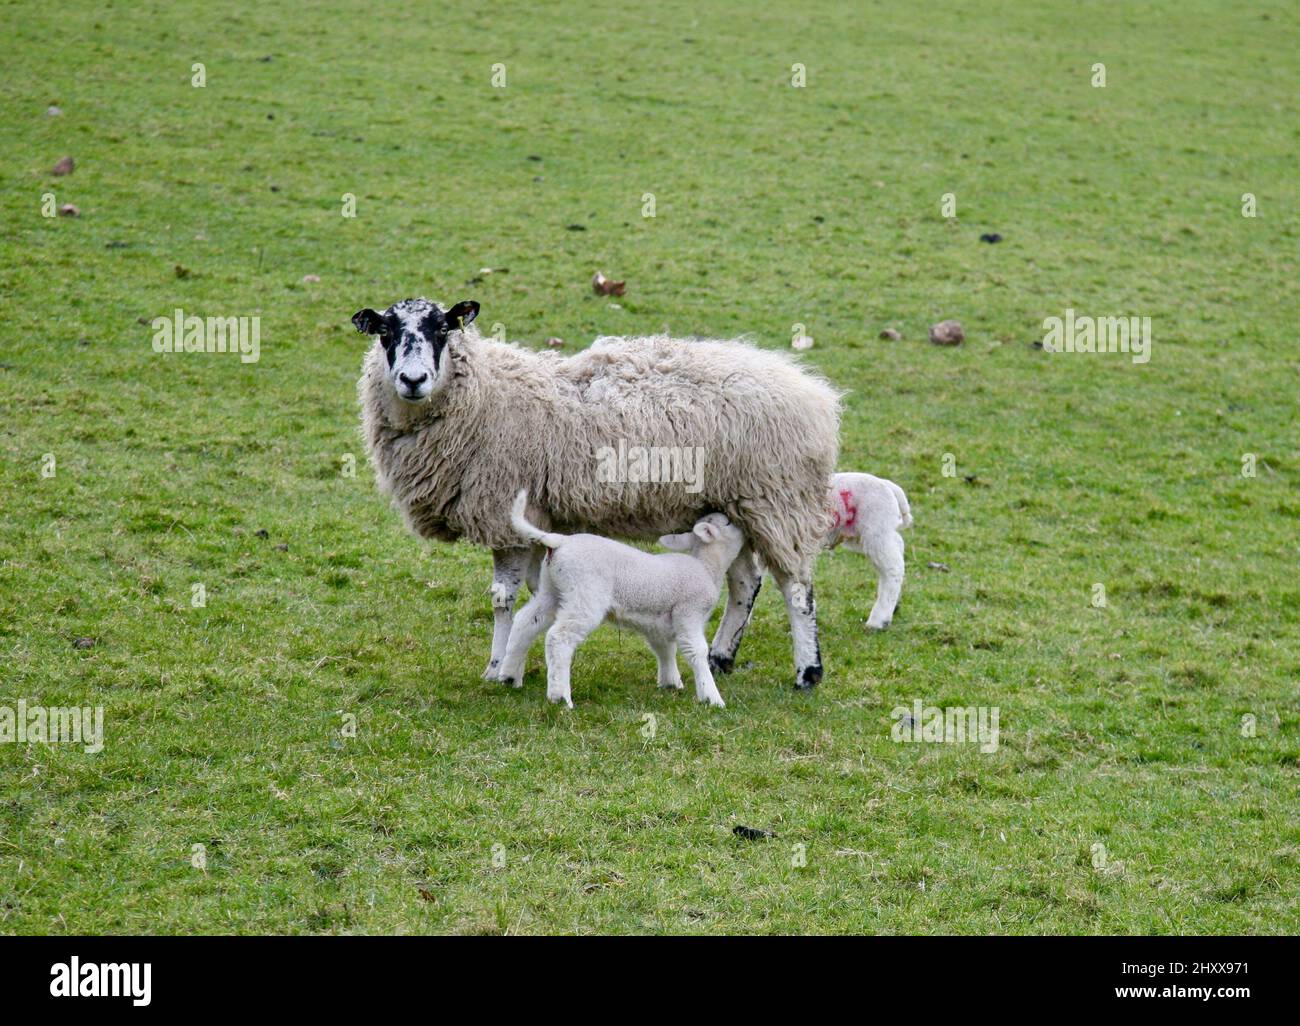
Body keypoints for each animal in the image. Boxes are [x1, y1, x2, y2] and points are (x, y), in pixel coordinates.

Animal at [498, 490, 745, 707]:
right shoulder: (689, 612)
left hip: (553, 590)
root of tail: (559, 541)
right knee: (559, 637)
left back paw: (509, 676)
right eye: (728, 523)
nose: (740, 522)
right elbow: (697, 651)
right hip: (585, 593)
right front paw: (711, 697)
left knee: (526, 621)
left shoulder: (659, 622)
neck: (706, 566)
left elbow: (665, 648)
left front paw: (670, 683)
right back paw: (560, 697)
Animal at [824, 472, 913, 629]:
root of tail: (887, 484)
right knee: (898, 544)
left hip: (876, 530)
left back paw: (878, 621)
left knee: (893, 568)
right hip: (869, 533)